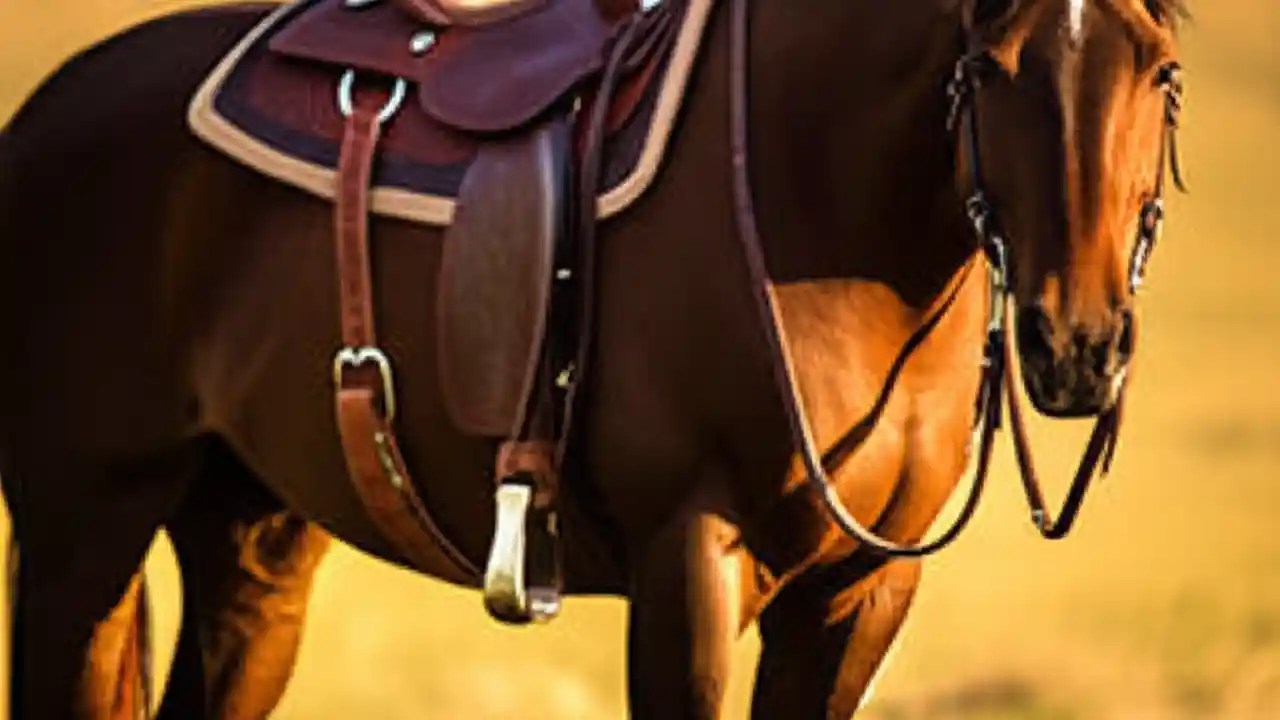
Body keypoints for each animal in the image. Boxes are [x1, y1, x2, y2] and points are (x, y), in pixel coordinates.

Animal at [0, 0, 1185, 717]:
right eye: (986, 65)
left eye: (1161, 73)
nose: (1074, 346)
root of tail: (50, 106)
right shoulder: (689, 564)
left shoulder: (862, 590)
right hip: (80, 538)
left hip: (253, 543)